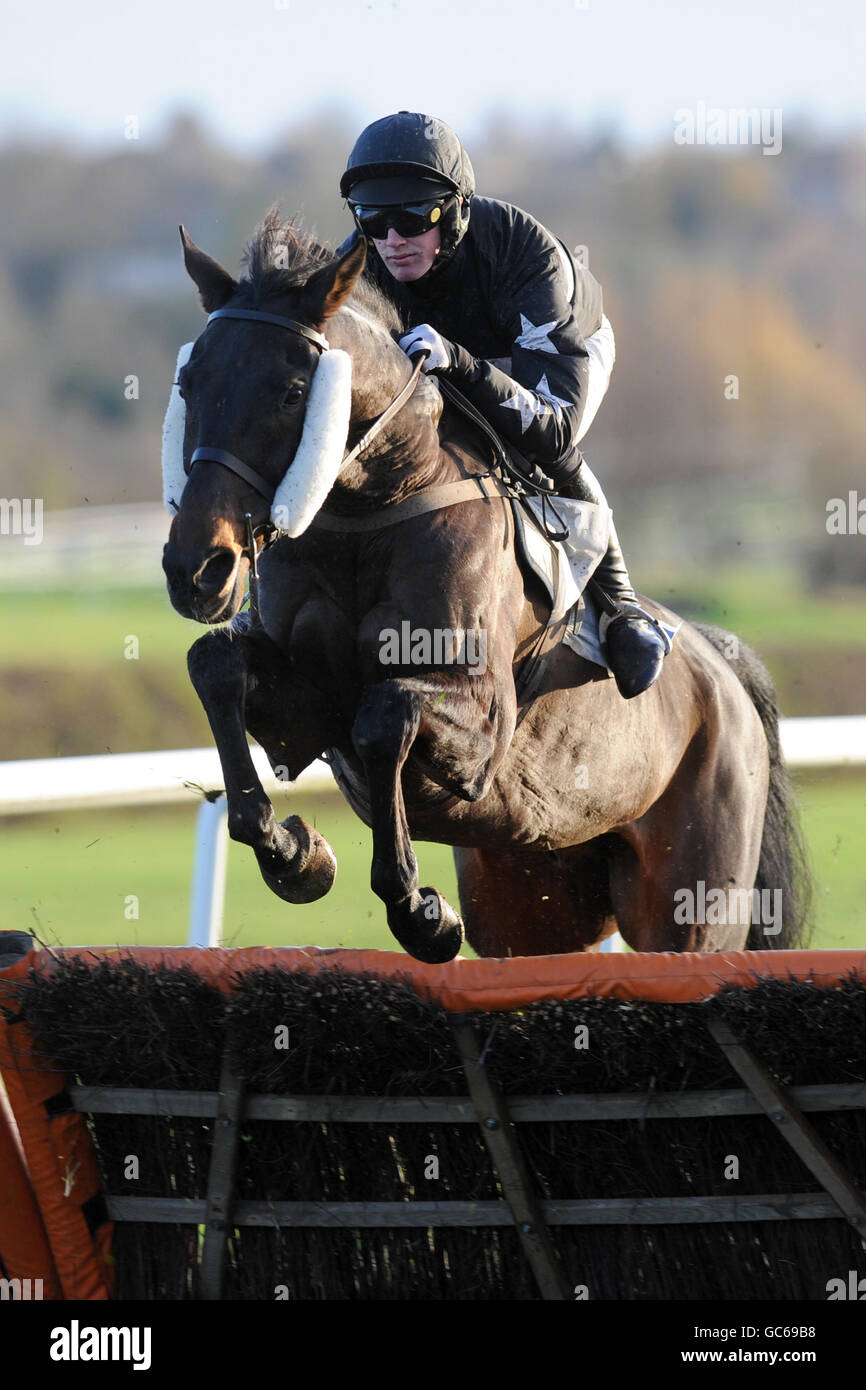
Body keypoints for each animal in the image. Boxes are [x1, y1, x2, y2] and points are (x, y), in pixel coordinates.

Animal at [162, 212, 811, 964]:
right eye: (189, 382)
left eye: (293, 392)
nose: (196, 569)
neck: (375, 505)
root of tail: (721, 667)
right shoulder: (307, 706)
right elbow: (213, 664)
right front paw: (296, 854)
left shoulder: (482, 722)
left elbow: (386, 711)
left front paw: (418, 909)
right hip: (528, 904)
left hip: (693, 902)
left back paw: (636, 639)